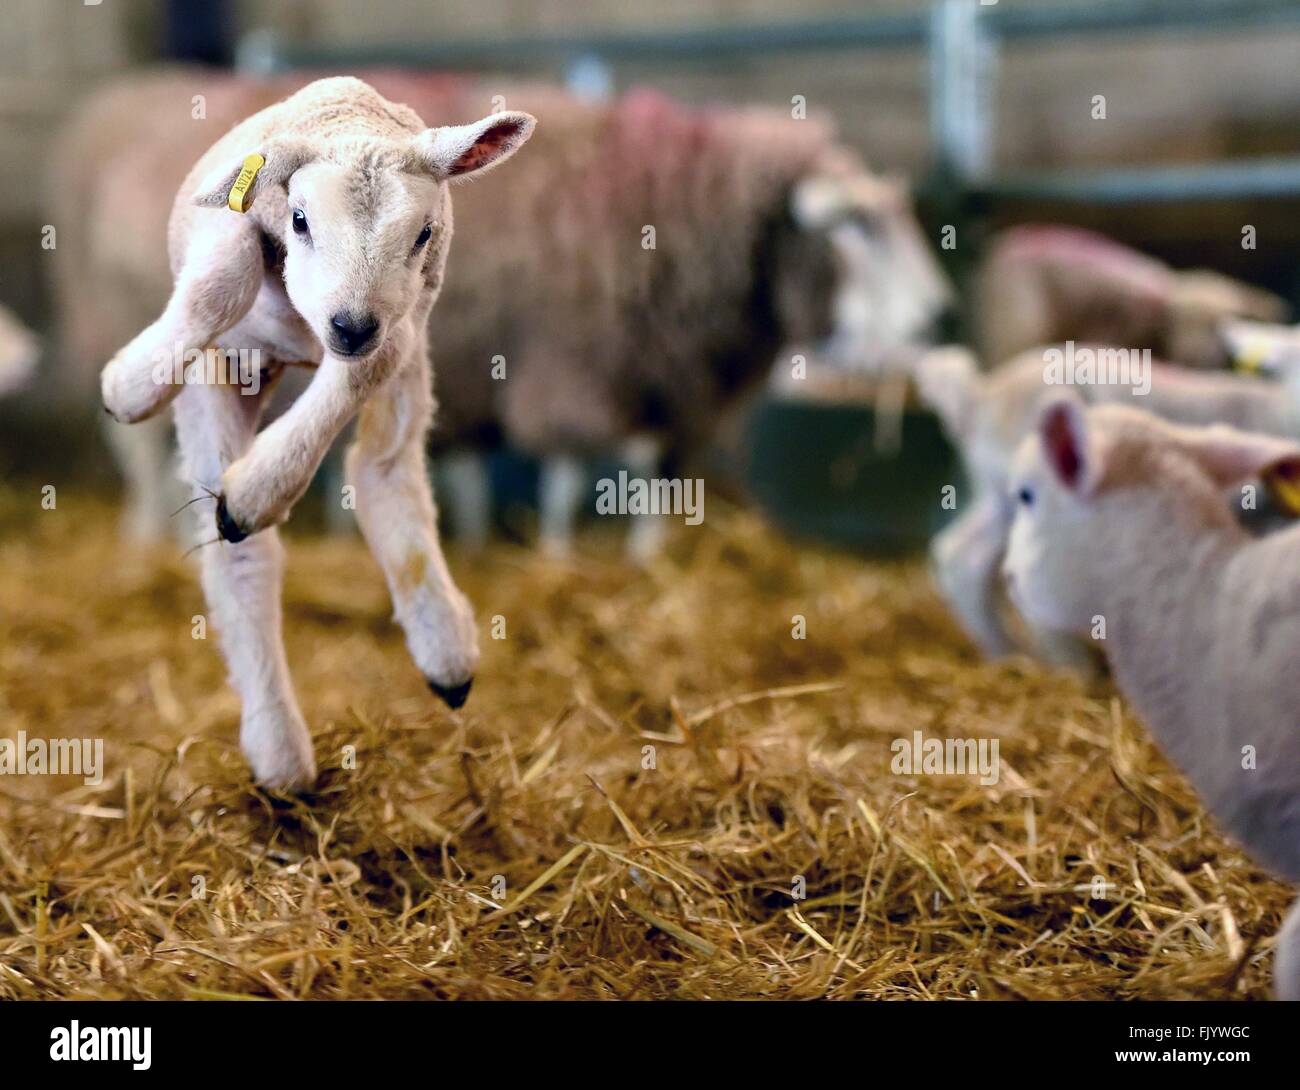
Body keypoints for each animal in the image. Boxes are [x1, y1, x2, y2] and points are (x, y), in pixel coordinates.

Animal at [51, 70, 951, 556]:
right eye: (858, 226)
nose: (937, 315)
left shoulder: (660, 380)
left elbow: (655, 477)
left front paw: (647, 557)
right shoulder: (570, 364)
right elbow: (566, 472)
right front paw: (556, 553)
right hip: (105, 312)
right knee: (137, 448)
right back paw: (146, 531)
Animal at [98, 75, 535, 788]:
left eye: (424, 232)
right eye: (299, 220)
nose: (349, 325)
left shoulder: (405, 320)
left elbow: (368, 372)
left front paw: (262, 487)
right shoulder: (236, 230)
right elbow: (220, 283)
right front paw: (128, 385)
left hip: (404, 367)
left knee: (384, 470)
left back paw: (441, 644)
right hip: (223, 376)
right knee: (245, 557)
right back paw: (280, 753)